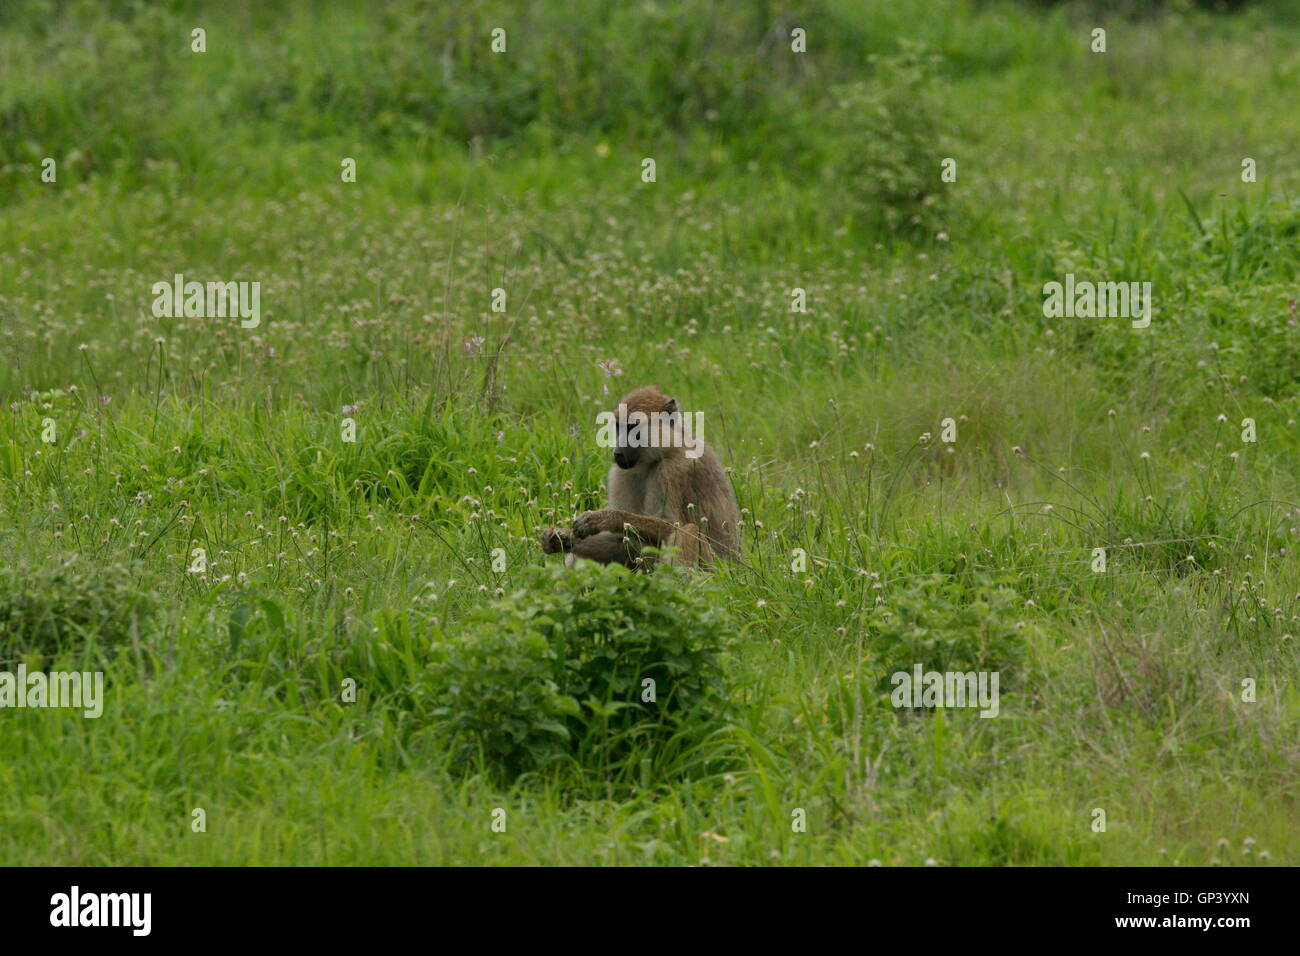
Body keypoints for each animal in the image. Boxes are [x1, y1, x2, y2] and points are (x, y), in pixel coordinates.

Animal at [541, 385, 740, 569]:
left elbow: (672, 524)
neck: (668, 448)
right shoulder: (621, 472)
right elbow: (622, 543)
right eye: (619, 427)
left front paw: (606, 518)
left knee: (688, 530)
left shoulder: (671, 471)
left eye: (632, 427)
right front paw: (560, 539)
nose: (617, 452)